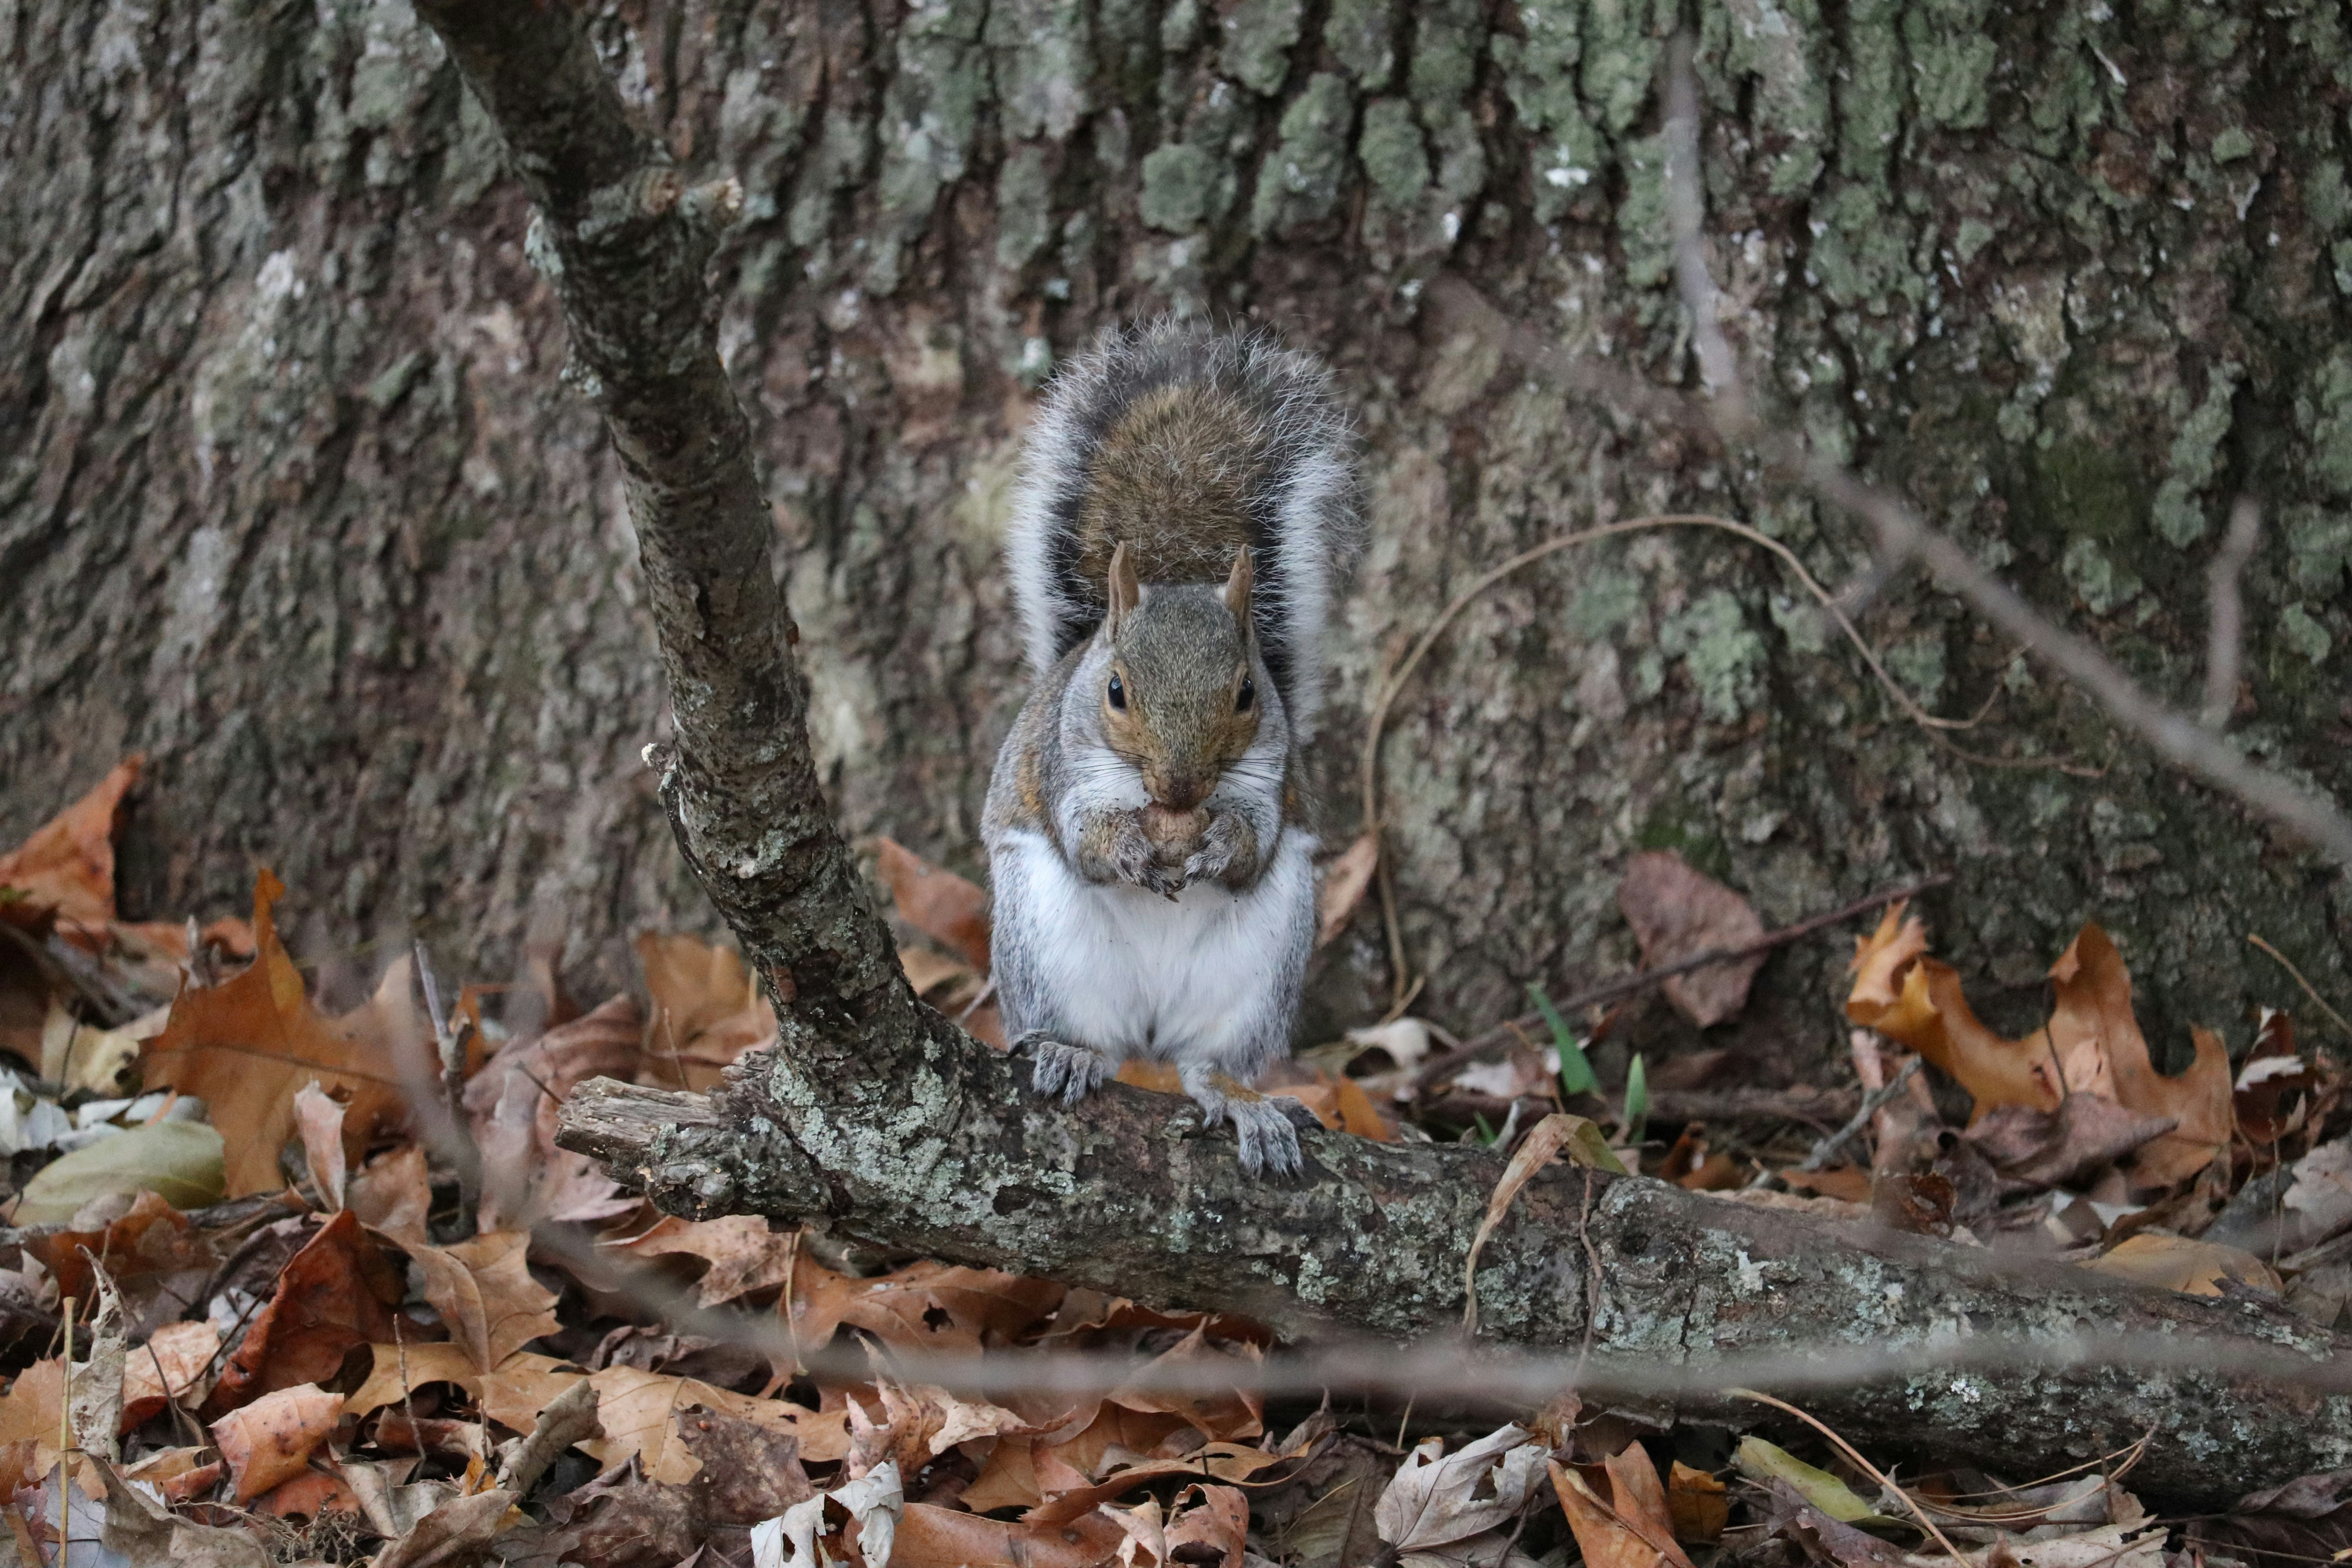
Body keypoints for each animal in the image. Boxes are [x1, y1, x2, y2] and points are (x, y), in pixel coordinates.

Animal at [982, 322, 1359, 1178]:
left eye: (1248, 693)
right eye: (1116, 690)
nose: (1184, 791)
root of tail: (1148, 1032)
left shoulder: (1269, 781)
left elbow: (1254, 841)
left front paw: (1217, 846)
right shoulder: (1066, 770)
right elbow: (1086, 840)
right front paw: (1128, 849)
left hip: (1257, 976)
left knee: (1205, 1061)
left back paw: (1243, 1102)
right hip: (1044, 945)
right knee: (1089, 1032)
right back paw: (1070, 1052)